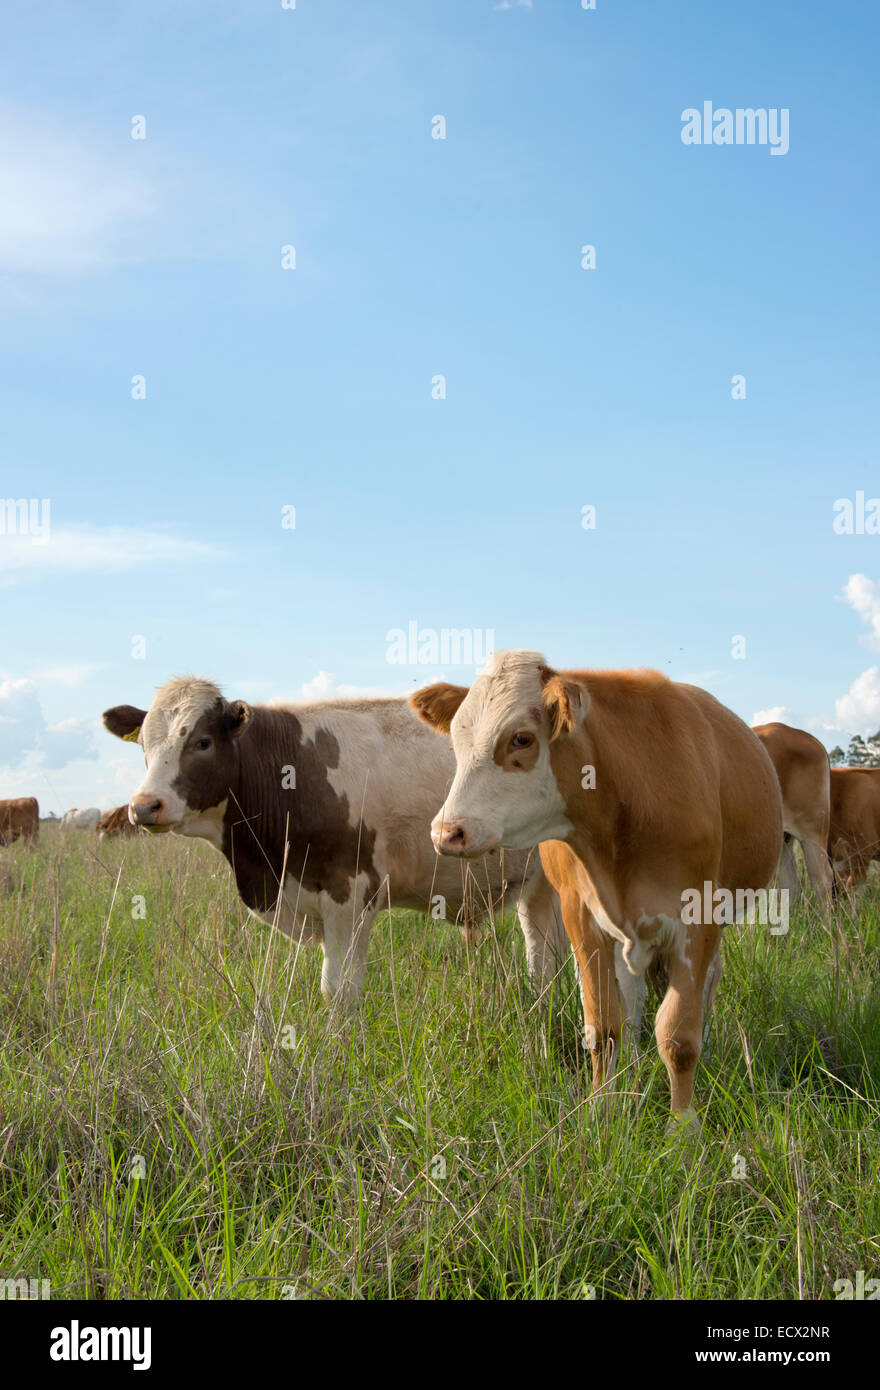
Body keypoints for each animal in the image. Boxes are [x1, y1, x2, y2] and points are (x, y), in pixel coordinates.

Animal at [102, 677, 567, 1006]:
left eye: (202, 741)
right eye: (143, 745)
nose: (144, 806)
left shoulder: (350, 894)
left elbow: (340, 990)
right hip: (542, 883)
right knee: (550, 956)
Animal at [412, 650, 783, 1132]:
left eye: (520, 739)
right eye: (457, 739)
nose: (447, 833)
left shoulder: (698, 920)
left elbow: (679, 1035)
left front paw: (683, 1128)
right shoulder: (582, 917)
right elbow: (604, 1024)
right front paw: (602, 1110)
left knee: (705, 989)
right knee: (632, 1001)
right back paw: (630, 1077)